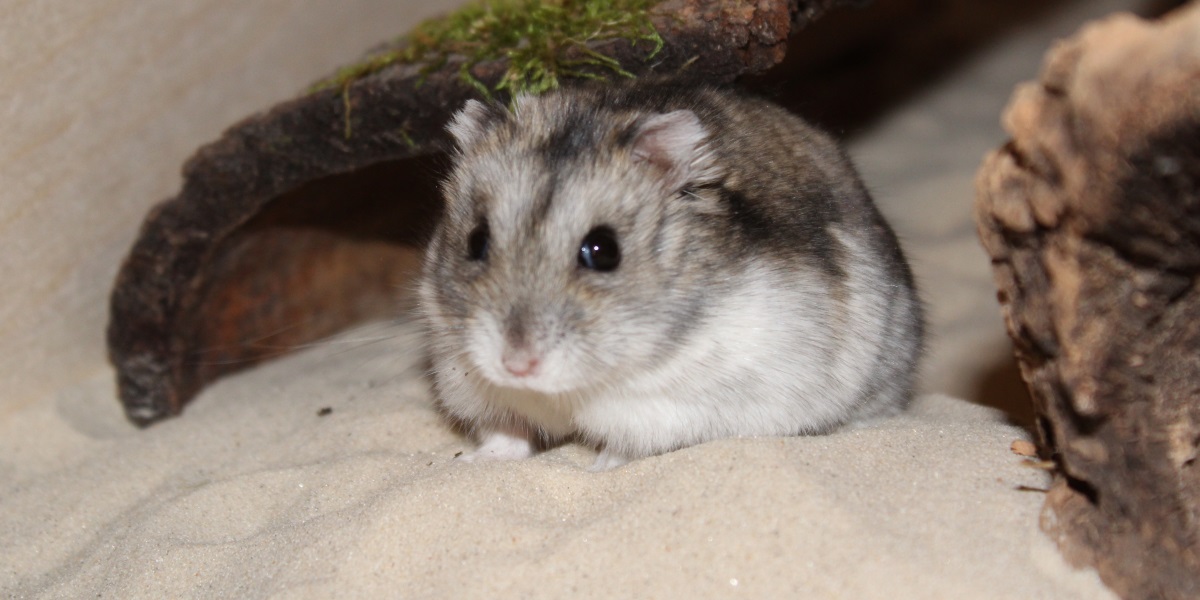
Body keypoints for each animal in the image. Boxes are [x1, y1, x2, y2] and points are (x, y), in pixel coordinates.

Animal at [418, 80, 923, 470]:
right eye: (476, 241)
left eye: (603, 251)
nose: (516, 365)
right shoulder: (471, 382)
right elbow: (507, 433)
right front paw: (476, 462)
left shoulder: (671, 407)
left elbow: (623, 444)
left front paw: (600, 466)